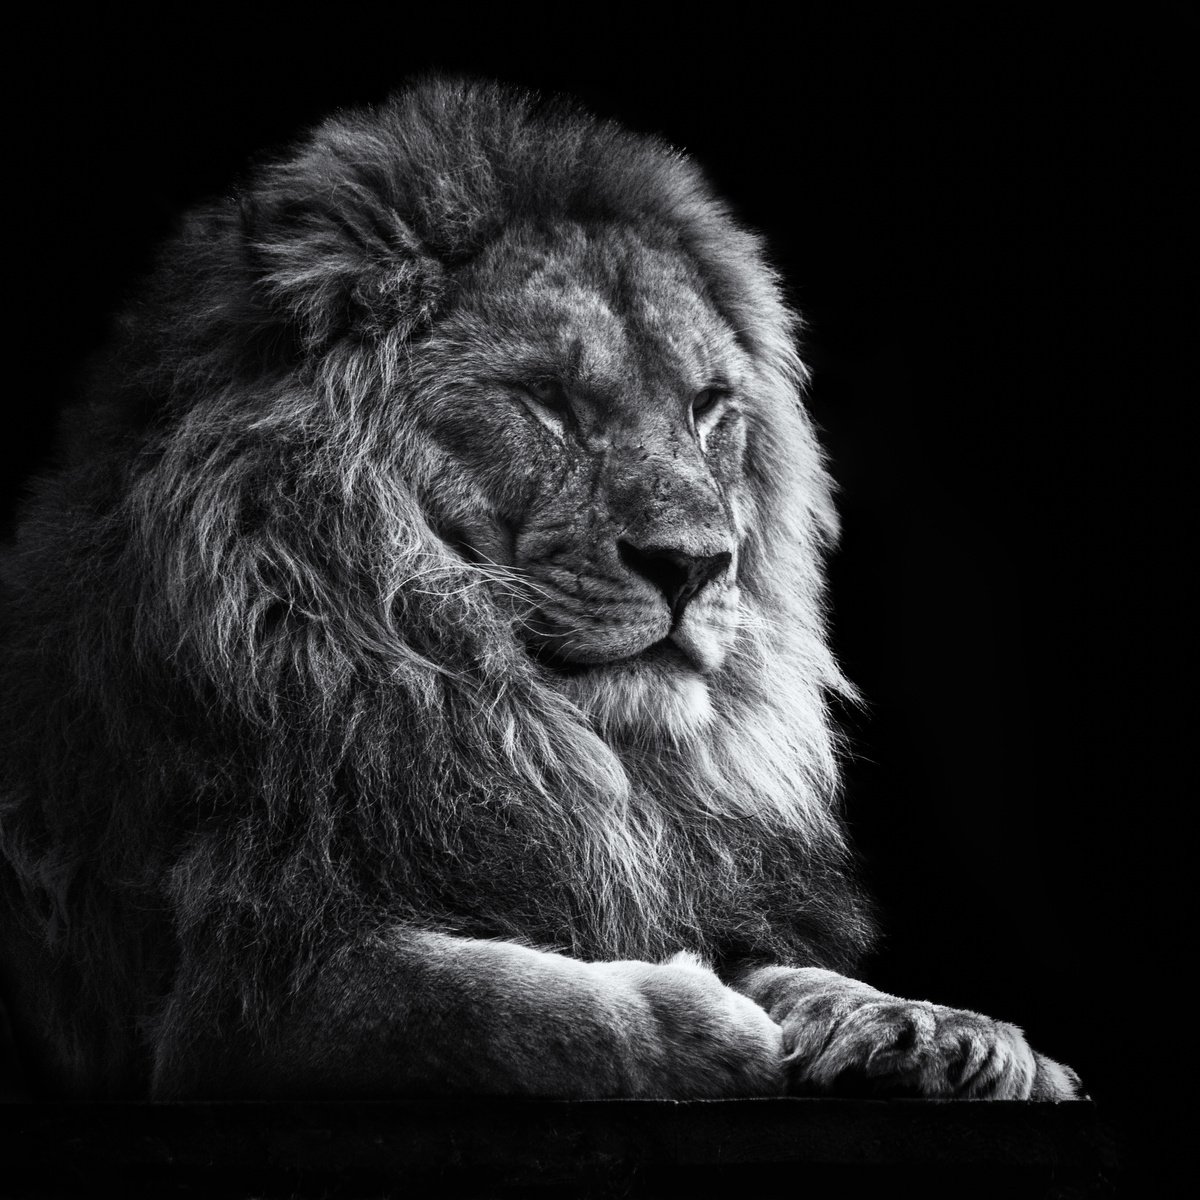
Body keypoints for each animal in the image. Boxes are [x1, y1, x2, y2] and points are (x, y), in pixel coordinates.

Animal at [0, 78, 1081, 1102]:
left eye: (708, 408)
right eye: (545, 403)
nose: (695, 563)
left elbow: (785, 967)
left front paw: (947, 1032)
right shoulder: (241, 992)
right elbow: (496, 1008)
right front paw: (706, 1026)